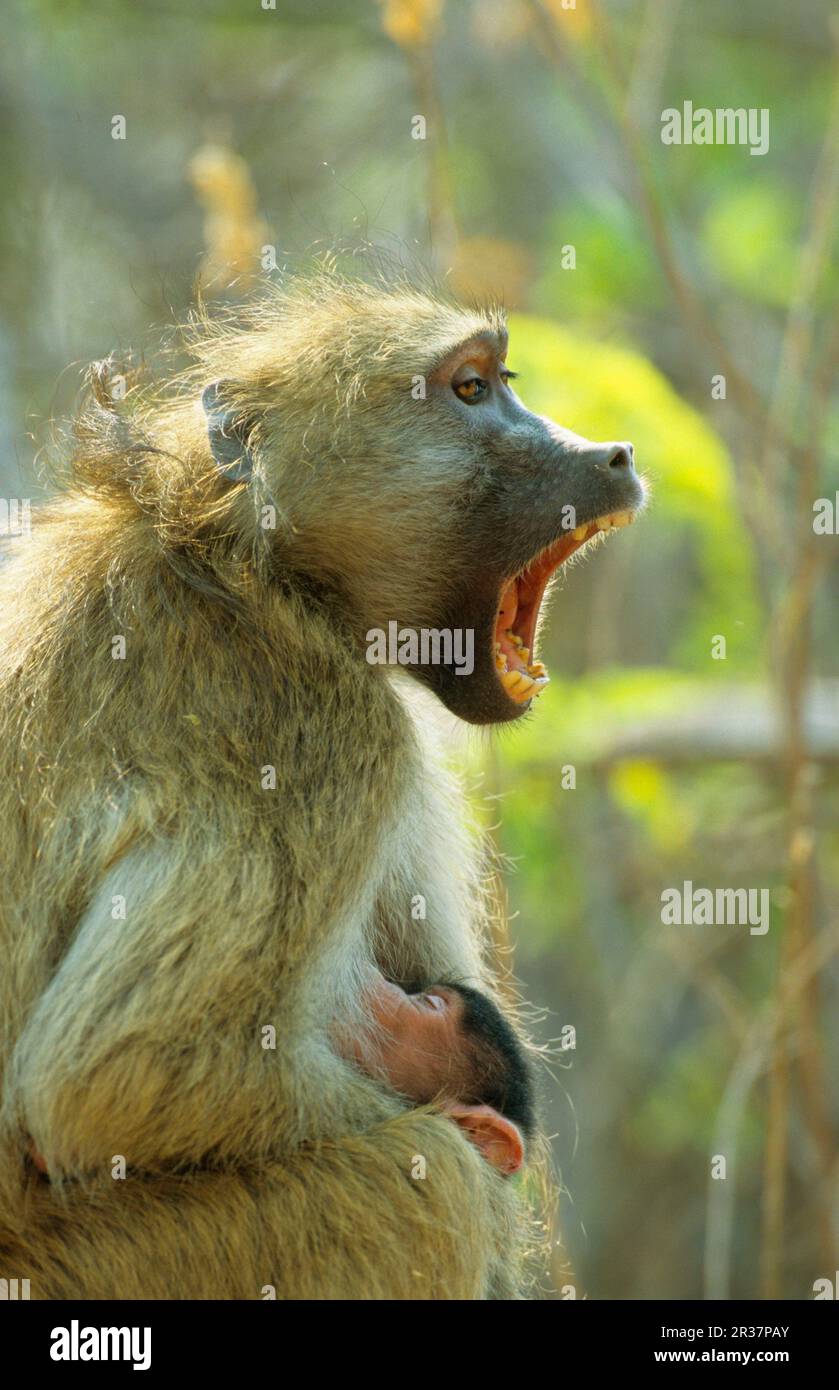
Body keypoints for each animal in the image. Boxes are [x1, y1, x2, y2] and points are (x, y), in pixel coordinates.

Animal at [0, 268, 643, 1299]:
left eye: (499, 381)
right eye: (469, 389)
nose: (611, 454)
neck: (239, 560)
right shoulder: (332, 741)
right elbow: (108, 1084)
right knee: (437, 1186)